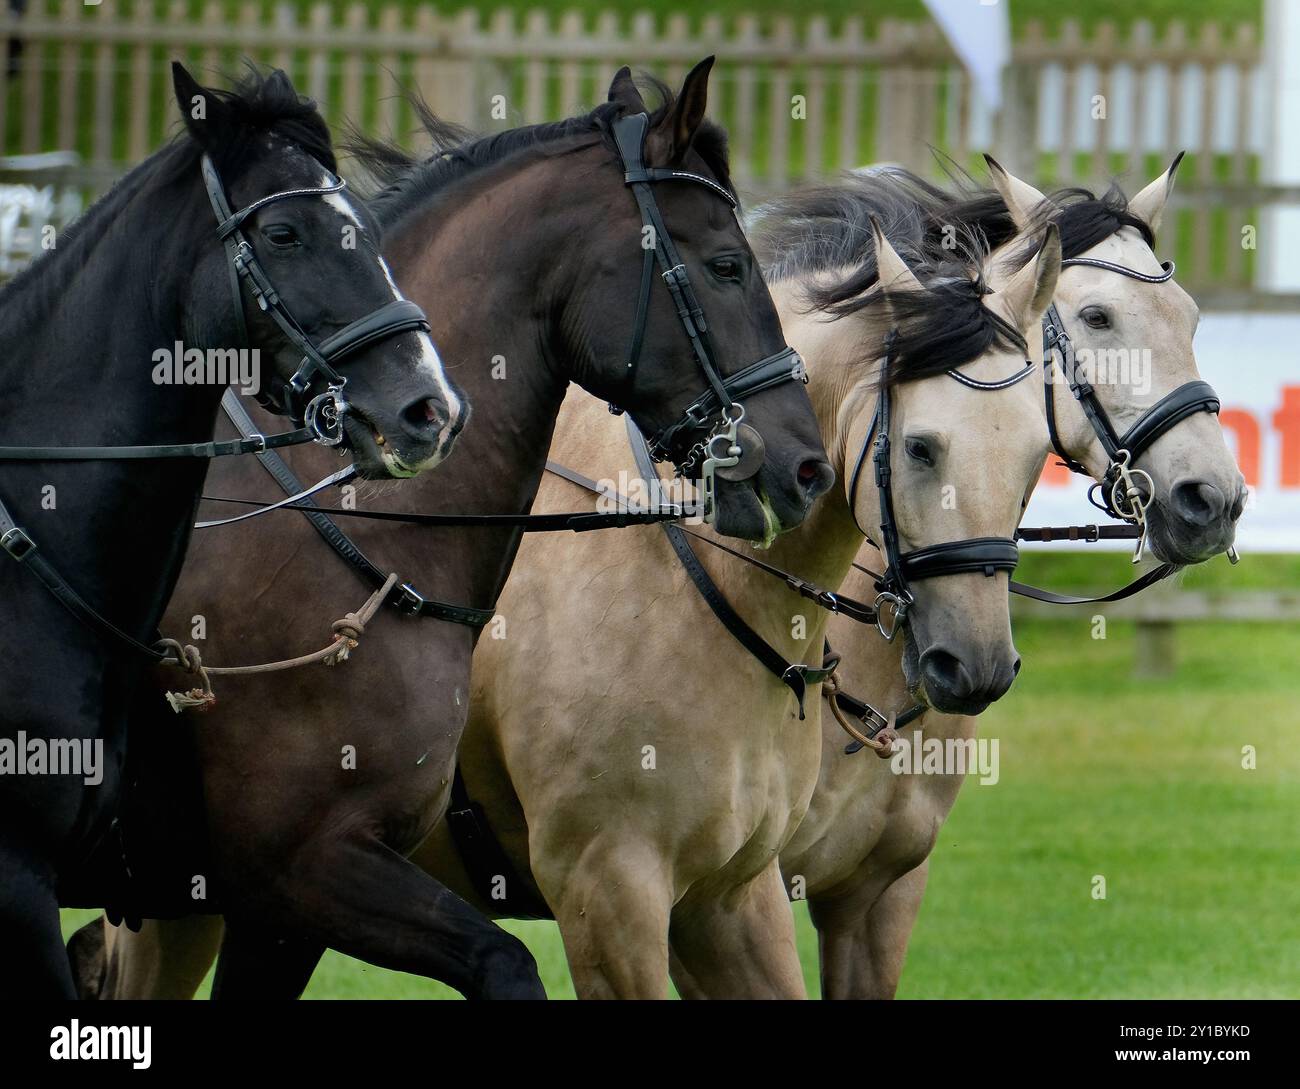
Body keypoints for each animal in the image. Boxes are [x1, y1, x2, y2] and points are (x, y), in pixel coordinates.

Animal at [68, 58, 834, 999]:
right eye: (727, 264)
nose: (805, 466)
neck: (366, 537)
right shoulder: (308, 865)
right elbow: (505, 961)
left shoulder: (279, 908)